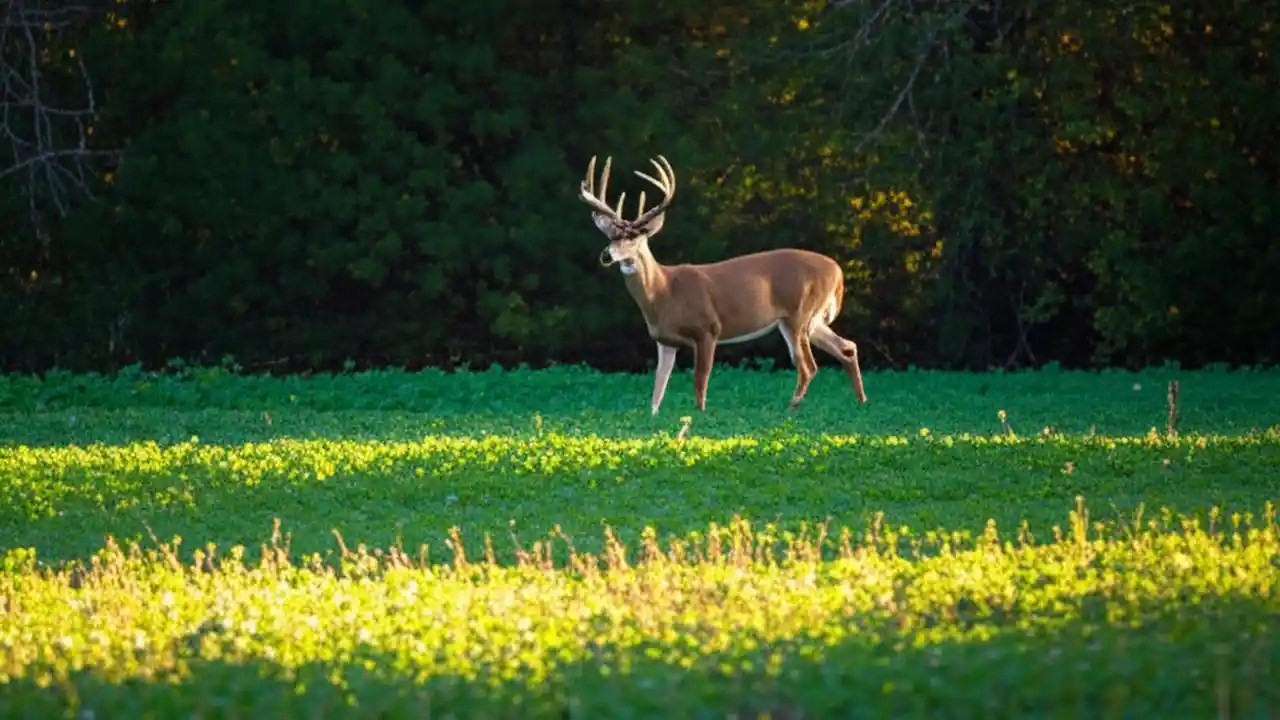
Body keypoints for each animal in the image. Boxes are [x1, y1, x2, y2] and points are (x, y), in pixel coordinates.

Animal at [578, 154, 869, 416]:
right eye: (611, 237)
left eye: (635, 238)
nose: (607, 255)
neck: (663, 293)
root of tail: (838, 271)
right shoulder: (665, 340)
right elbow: (657, 389)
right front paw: (654, 418)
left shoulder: (708, 328)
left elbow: (700, 380)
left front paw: (700, 415)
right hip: (813, 320)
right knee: (847, 347)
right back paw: (861, 402)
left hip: (798, 314)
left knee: (808, 365)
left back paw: (790, 409)